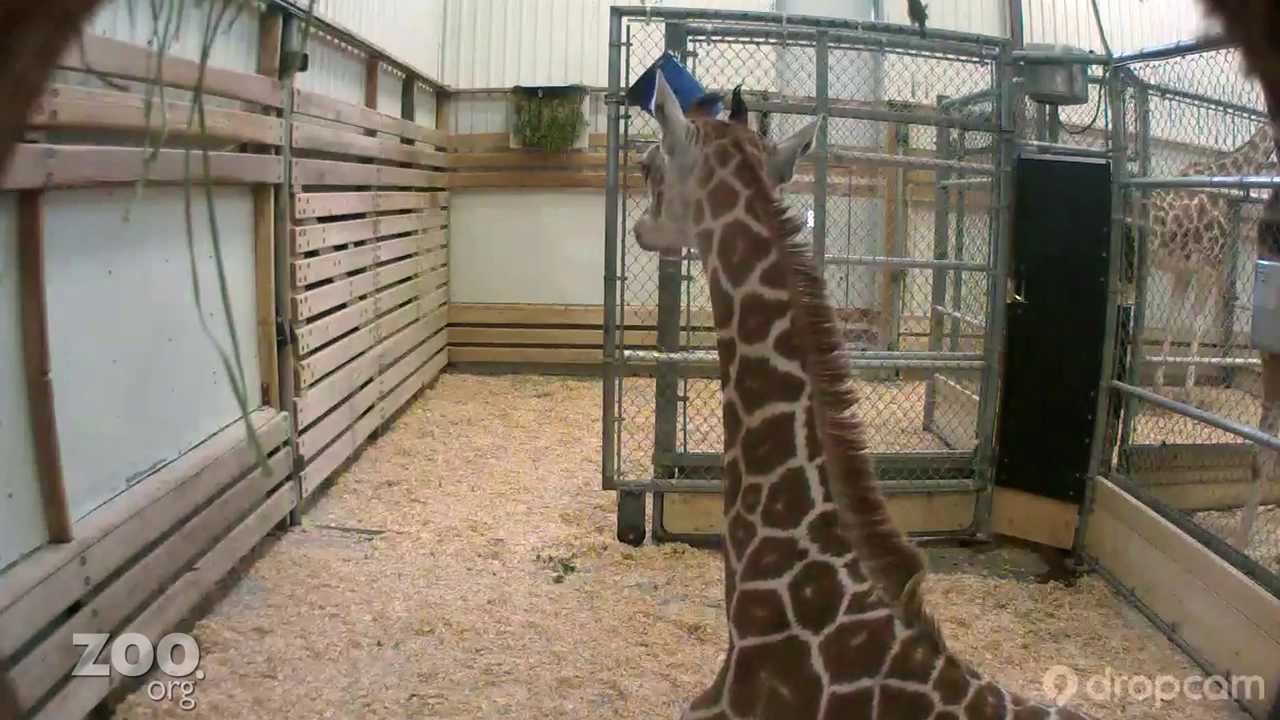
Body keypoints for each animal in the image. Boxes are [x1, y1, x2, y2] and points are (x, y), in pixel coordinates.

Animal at [1144, 122, 1277, 399]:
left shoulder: (1184, 270)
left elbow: (1172, 319)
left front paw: (1159, 385)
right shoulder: (1209, 264)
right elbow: (1198, 323)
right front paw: (1188, 391)